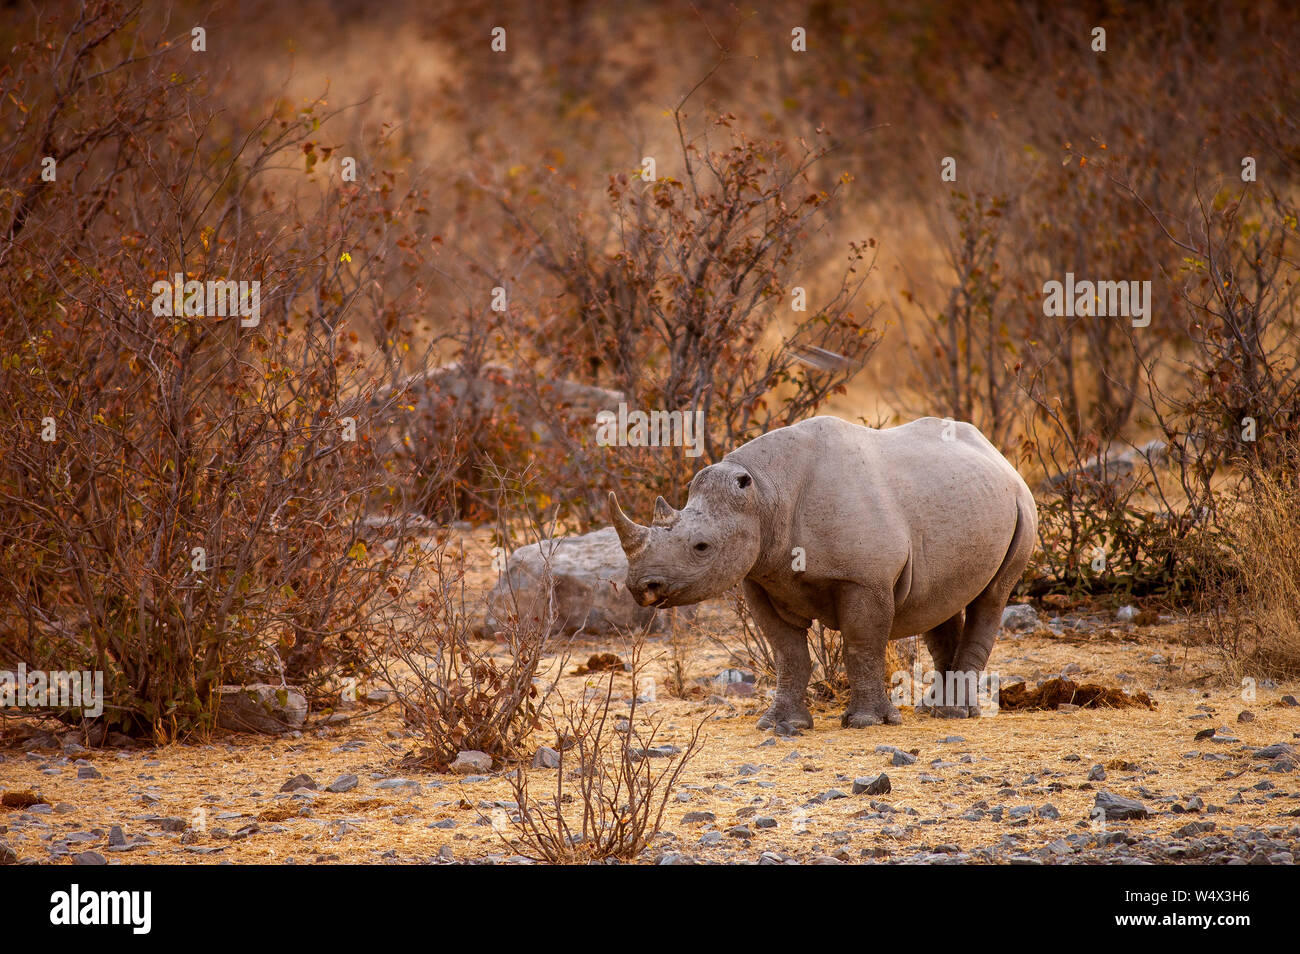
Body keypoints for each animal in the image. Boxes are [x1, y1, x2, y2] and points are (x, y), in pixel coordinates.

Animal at [607, 416, 1037, 730]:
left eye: (701, 548)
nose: (642, 588)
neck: (764, 495)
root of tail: (998, 455)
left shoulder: (864, 579)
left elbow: (861, 646)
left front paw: (866, 723)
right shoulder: (758, 576)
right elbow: (787, 652)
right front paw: (781, 726)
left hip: (1022, 503)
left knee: (993, 596)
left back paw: (953, 714)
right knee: (938, 602)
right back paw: (934, 708)